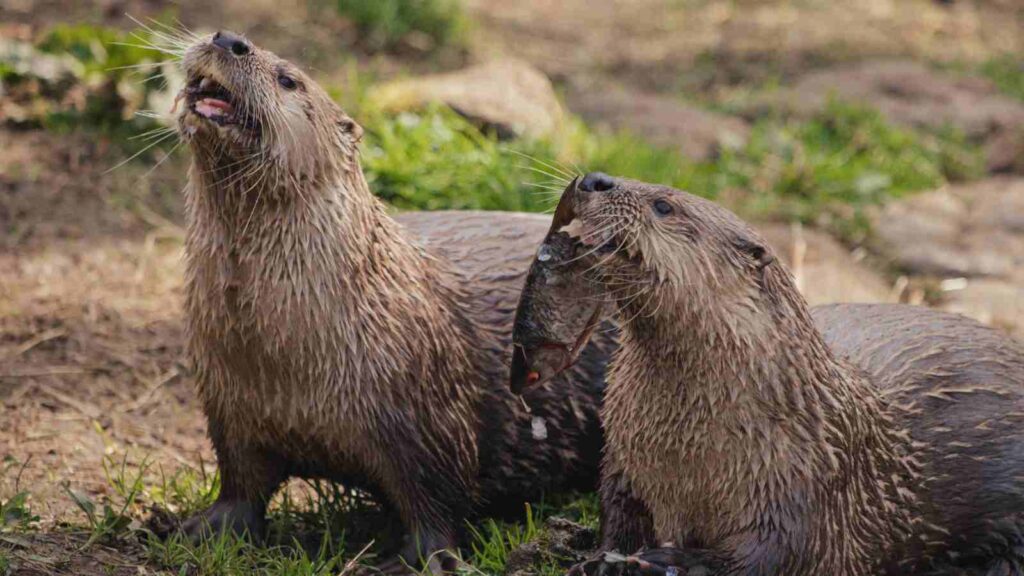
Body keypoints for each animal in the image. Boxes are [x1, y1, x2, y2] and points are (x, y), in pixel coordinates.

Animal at [172, 31, 610, 571]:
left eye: (288, 79)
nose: (228, 39)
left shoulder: (427, 414)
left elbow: (436, 498)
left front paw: (417, 561)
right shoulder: (229, 405)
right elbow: (239, 478)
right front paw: (206, 526)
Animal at [511, 174, 1024, 575]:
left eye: (663, 205)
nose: (594, 179)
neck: (689, 454)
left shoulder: (810, 487)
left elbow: (777, 557)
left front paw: (667, 562)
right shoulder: (625, 465)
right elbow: (618, 518)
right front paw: (599, 559)